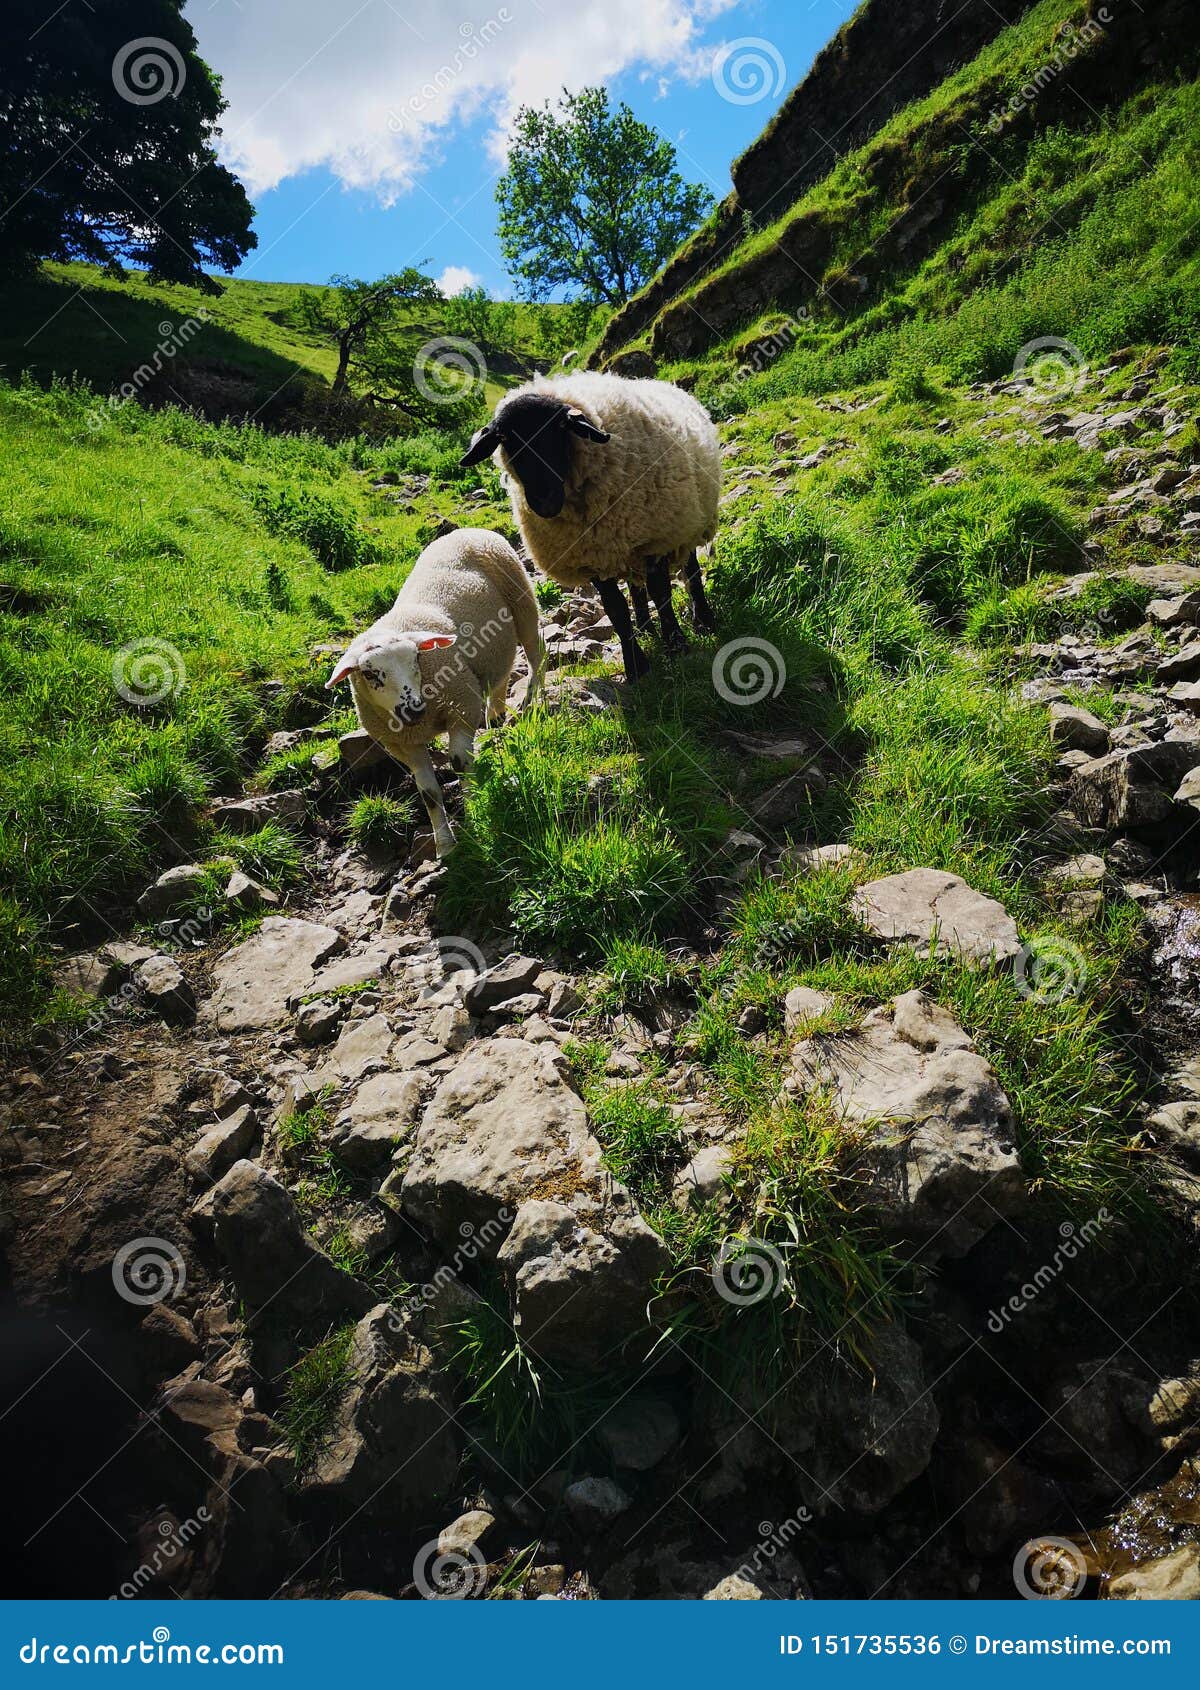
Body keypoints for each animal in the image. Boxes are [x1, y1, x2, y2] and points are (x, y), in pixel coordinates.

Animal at [325, 527, 542, 857]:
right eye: (370, 674)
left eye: (415, 658)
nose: (413, 708)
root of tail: (467, 530)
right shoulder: (403, 745)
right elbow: (427, 792)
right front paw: (445, 846)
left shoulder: (461, 707)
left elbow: (460, 764)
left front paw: (476, 814)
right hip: (494, 646)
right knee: (502, 673)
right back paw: (495, 716)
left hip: (523, 602)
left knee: (535, 655)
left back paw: (531, 703)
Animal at [460, 370, 720, 681]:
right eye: (503, 437)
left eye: (561, 426)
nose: (544, 501)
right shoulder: (592, 557)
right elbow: (616, 610)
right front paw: (636, 667)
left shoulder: (654, 540)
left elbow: (661, 594)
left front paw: (676, 645)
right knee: (636, 586)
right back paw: (646, 628)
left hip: (689, 519)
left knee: (690, 569)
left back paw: (703, 619)